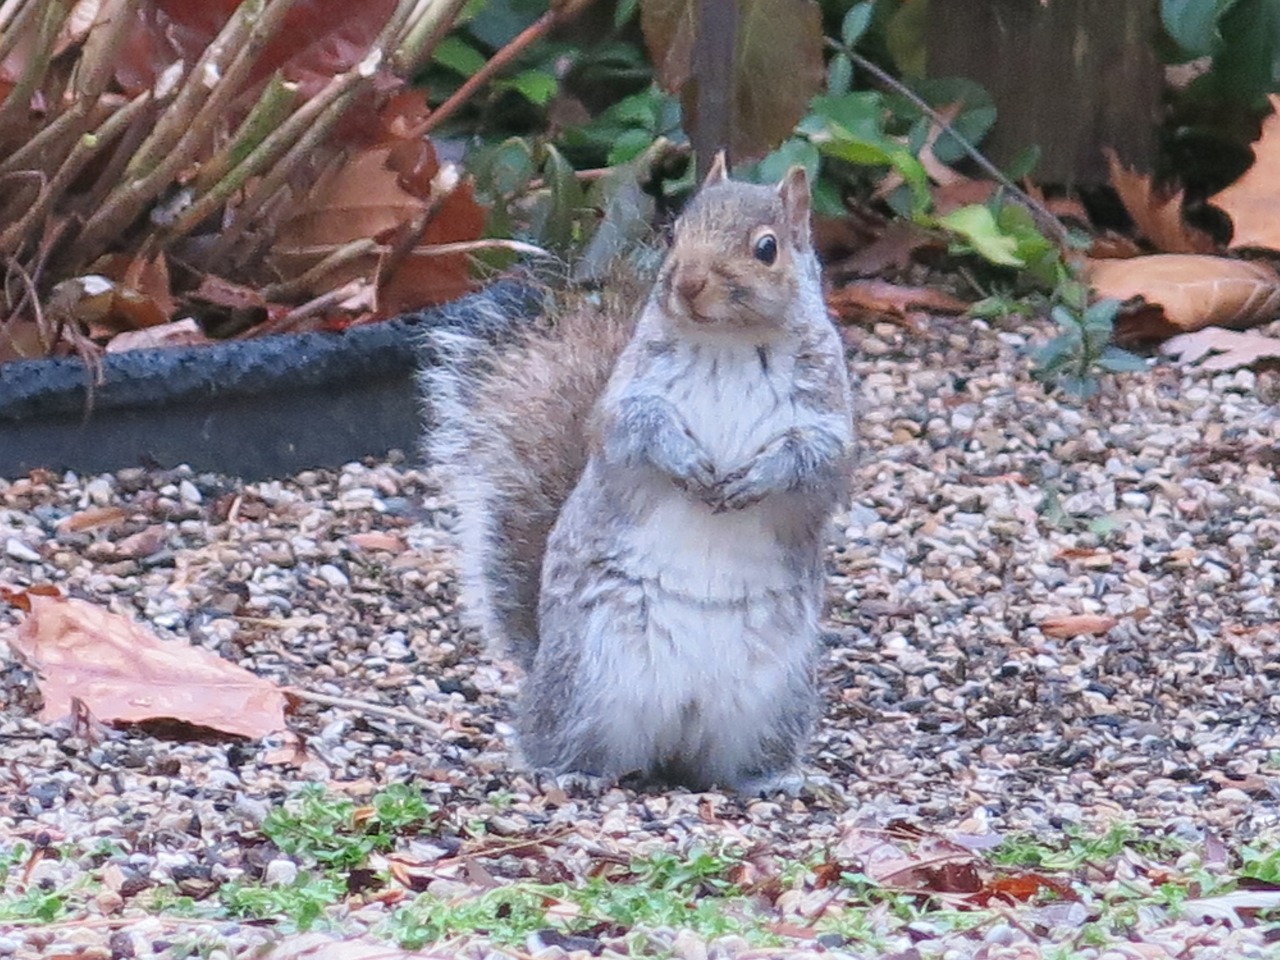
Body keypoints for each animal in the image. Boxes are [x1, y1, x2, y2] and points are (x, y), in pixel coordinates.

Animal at [422, 154, 855, 794]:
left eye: (767, 249)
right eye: (673, 235)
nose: (689, 282)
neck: (728, 343)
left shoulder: (828, 420)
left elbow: (810, 459)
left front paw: (751, 481)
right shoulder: (629, 400)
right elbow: (638, 434)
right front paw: (690, 466)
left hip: (772, 700)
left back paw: (771, 779)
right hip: (587, 681)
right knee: (561, 743)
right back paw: (570, 773)